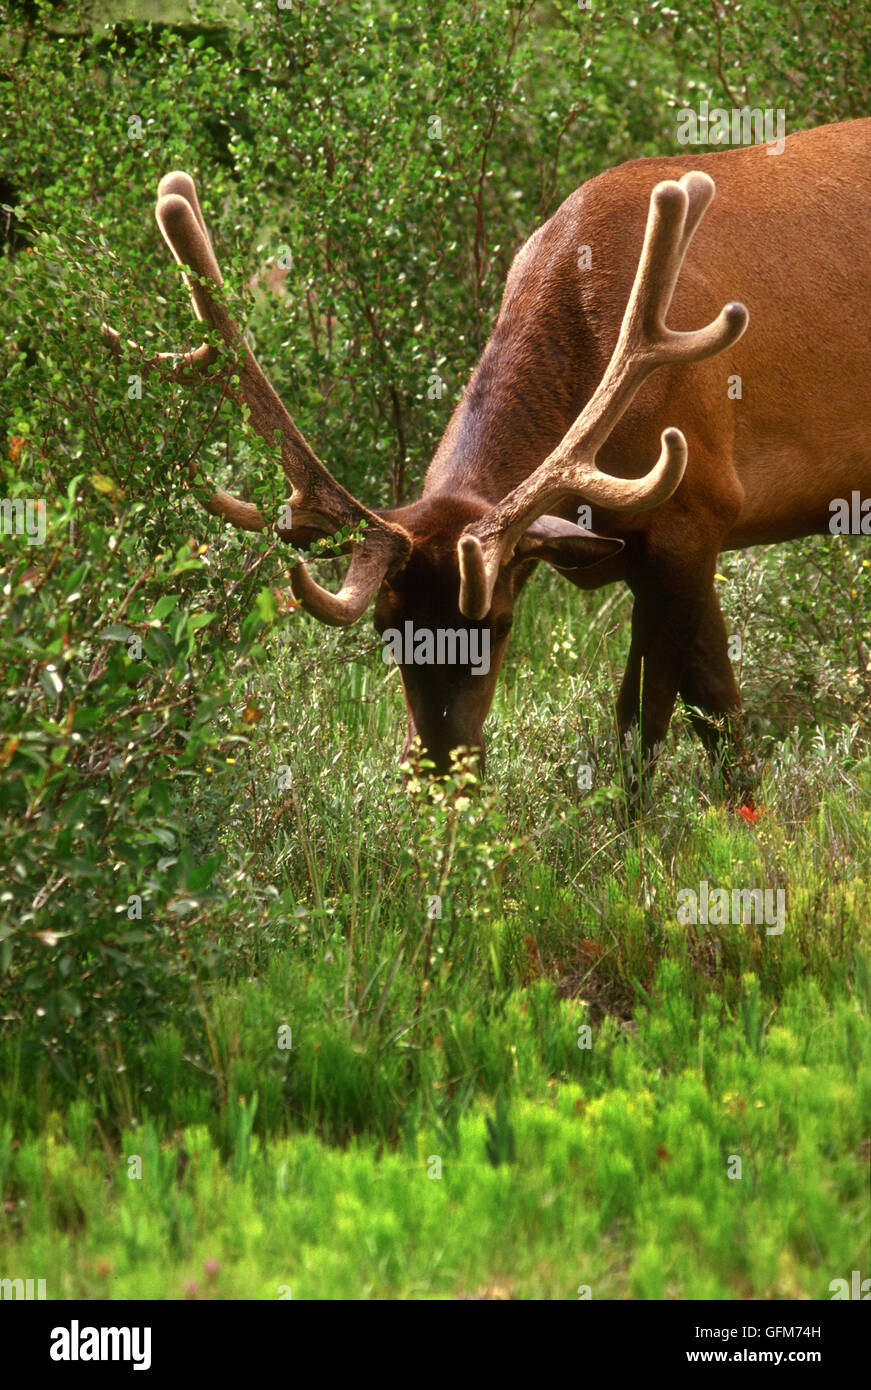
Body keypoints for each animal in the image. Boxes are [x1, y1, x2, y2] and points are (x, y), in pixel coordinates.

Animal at [104, 117, 871, 796]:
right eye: (388, 630)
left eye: (497, 626)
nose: (441, 771)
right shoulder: (640, 545)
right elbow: (677, 714)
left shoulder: (699, 508)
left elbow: (675, 715)